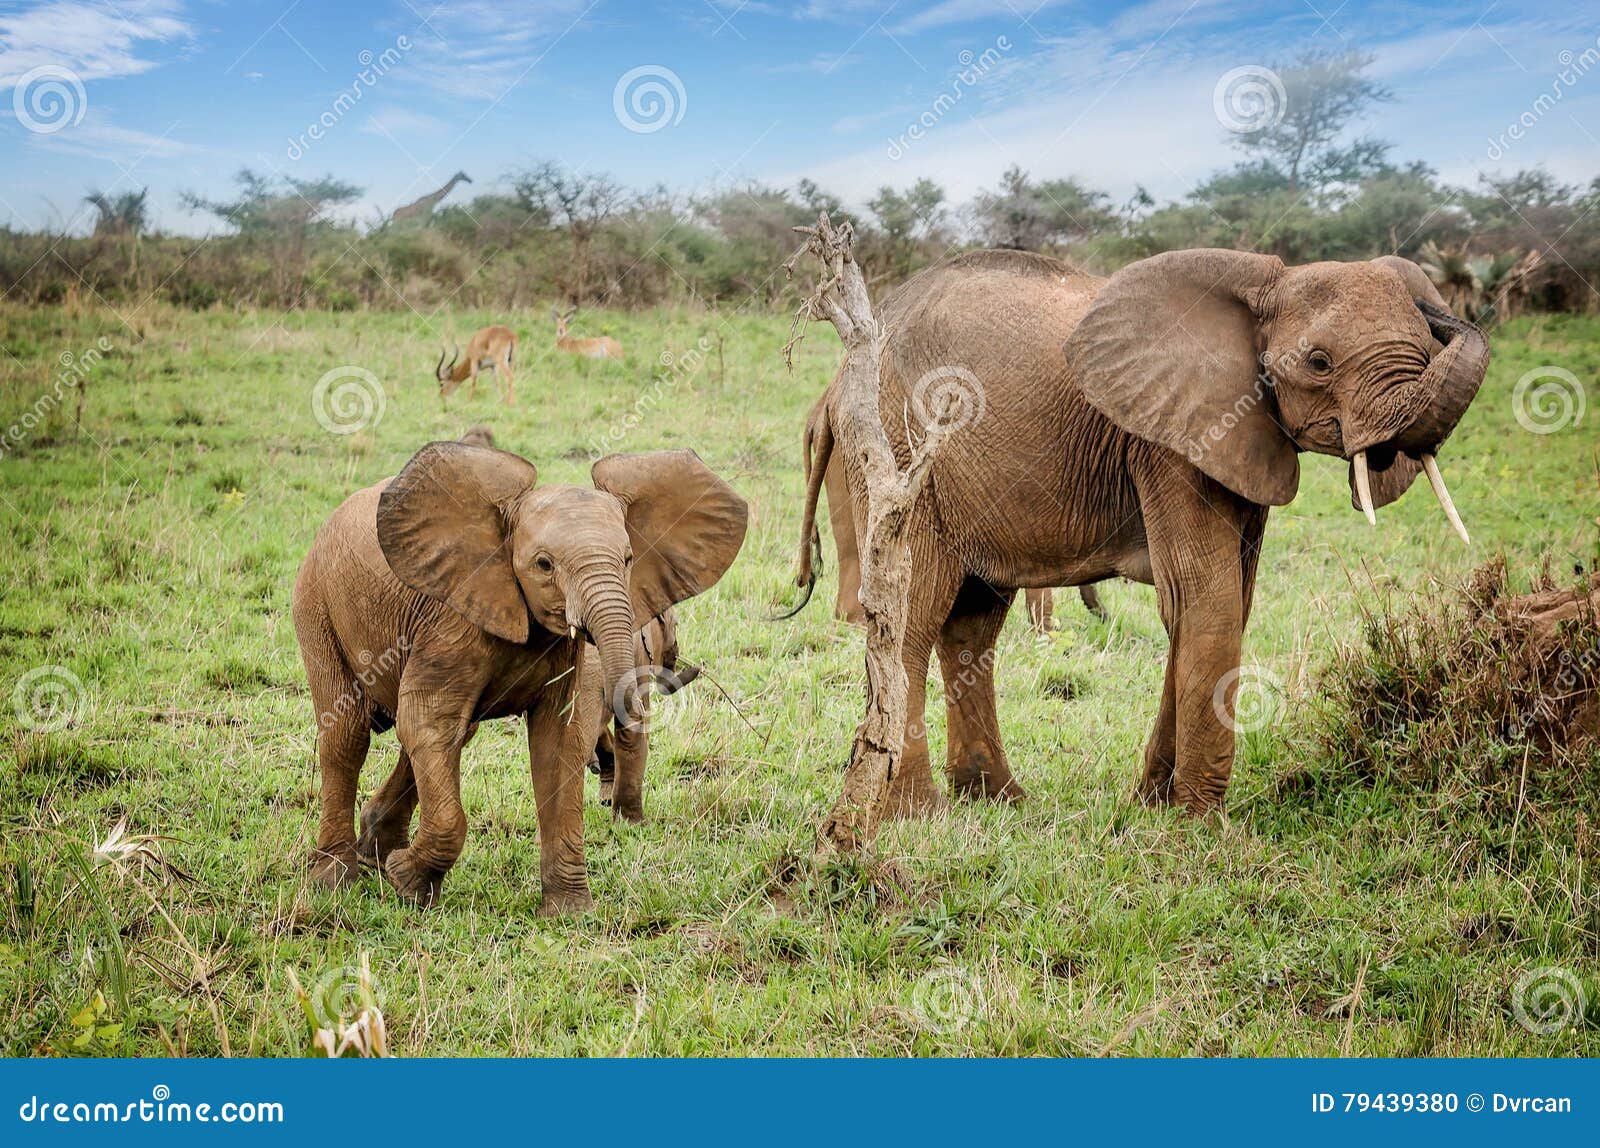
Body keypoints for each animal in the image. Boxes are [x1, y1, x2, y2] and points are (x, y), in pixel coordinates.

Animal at [291, 442, 748, 910]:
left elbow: (557, 740)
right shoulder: (449, 622)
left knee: (449, 734)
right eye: (544, 565)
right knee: (348, 734)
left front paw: (569, 912)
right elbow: (427, 722)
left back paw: (376, 854)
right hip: (316, 601)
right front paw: (409, 885)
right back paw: (334, 881)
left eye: (628, 559)